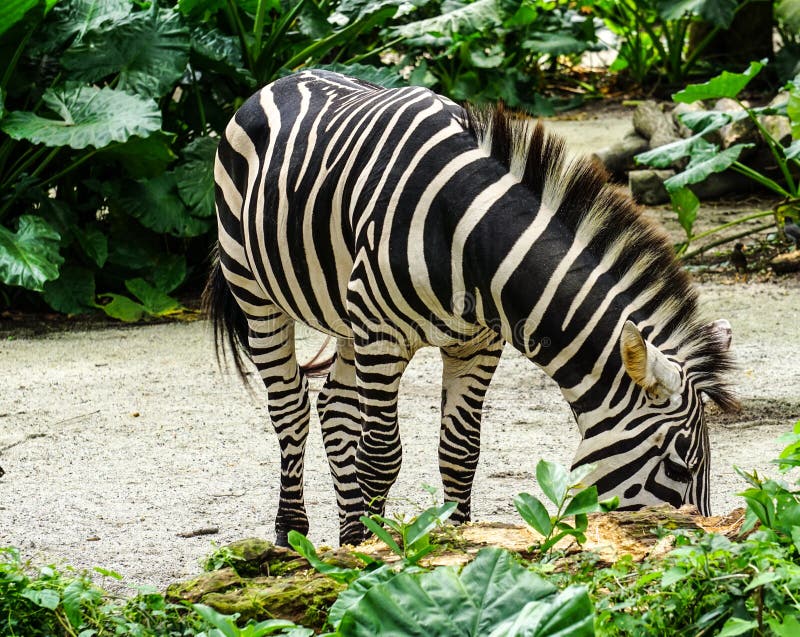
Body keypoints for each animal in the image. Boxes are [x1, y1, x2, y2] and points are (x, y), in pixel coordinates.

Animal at [204, 69, 737, 547]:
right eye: (681, 463)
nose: (701, 539)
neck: (469, 234)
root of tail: (286, 78)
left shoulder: (477, 345)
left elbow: (460, 453)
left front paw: (457, 542)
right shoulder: (382, 335)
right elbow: (380, 456)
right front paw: (377, 560)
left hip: (343, 308)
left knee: (335, 404)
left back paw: (348, 537)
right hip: (253, 286)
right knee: (290, 405)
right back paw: (292, 532)